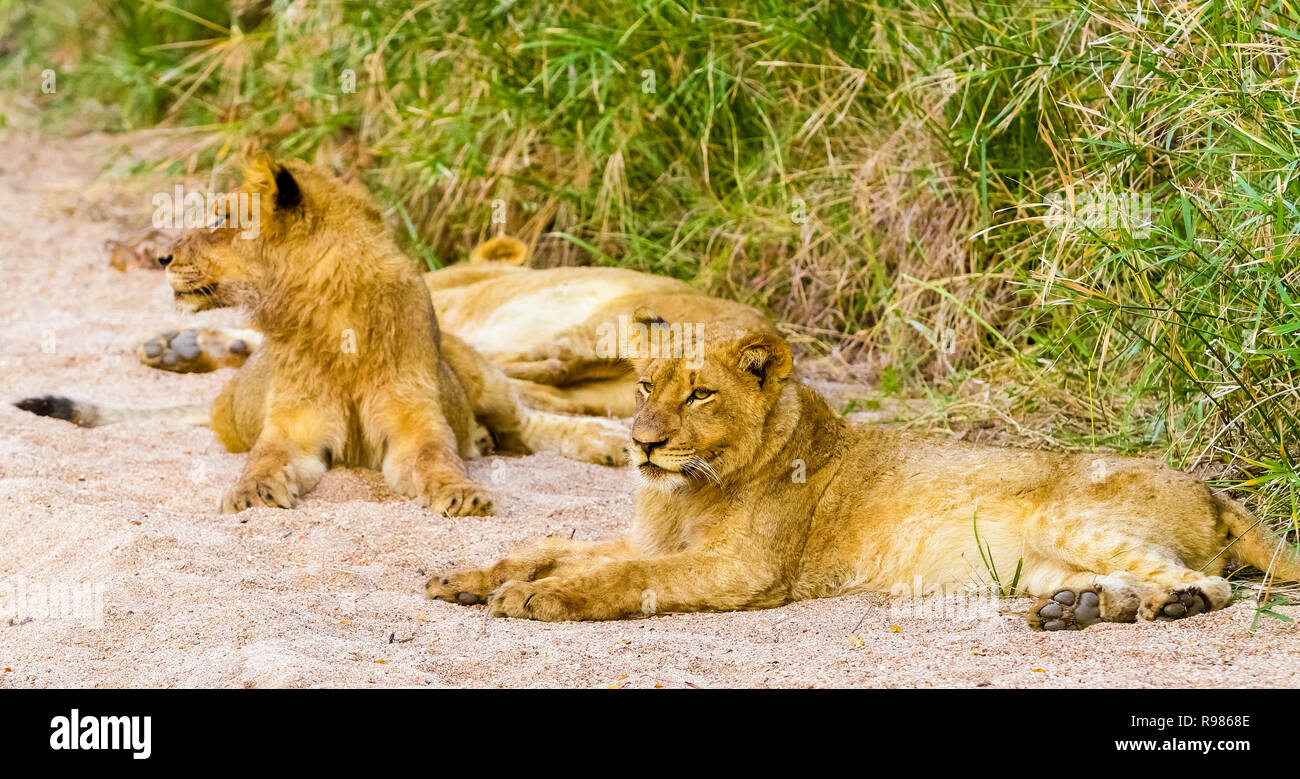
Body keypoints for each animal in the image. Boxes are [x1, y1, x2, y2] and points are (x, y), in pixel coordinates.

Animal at [15, 157, 627, 516]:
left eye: (218, 220)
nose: (162, 258)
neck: (332, 314)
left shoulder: (416, 424)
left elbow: (438, 459)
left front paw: (460, 493)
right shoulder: (293, 430)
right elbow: (264, 460)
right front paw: (251, 493)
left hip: (474, 370)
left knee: (530, 422)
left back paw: (608, 442)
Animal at [426, 319, 1300, 628]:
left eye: (700, 393)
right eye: (644, 385)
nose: (640, 443)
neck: (686, 490)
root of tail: (1215, 490)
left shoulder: (743, 568)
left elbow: (617, 577)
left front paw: (539, 598)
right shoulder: (646, 537)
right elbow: (550, 548)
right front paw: (466, 577)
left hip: (1067, 516)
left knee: (1211, 584)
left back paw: (1161, 604)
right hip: (1040, 562)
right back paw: (1081, 609)